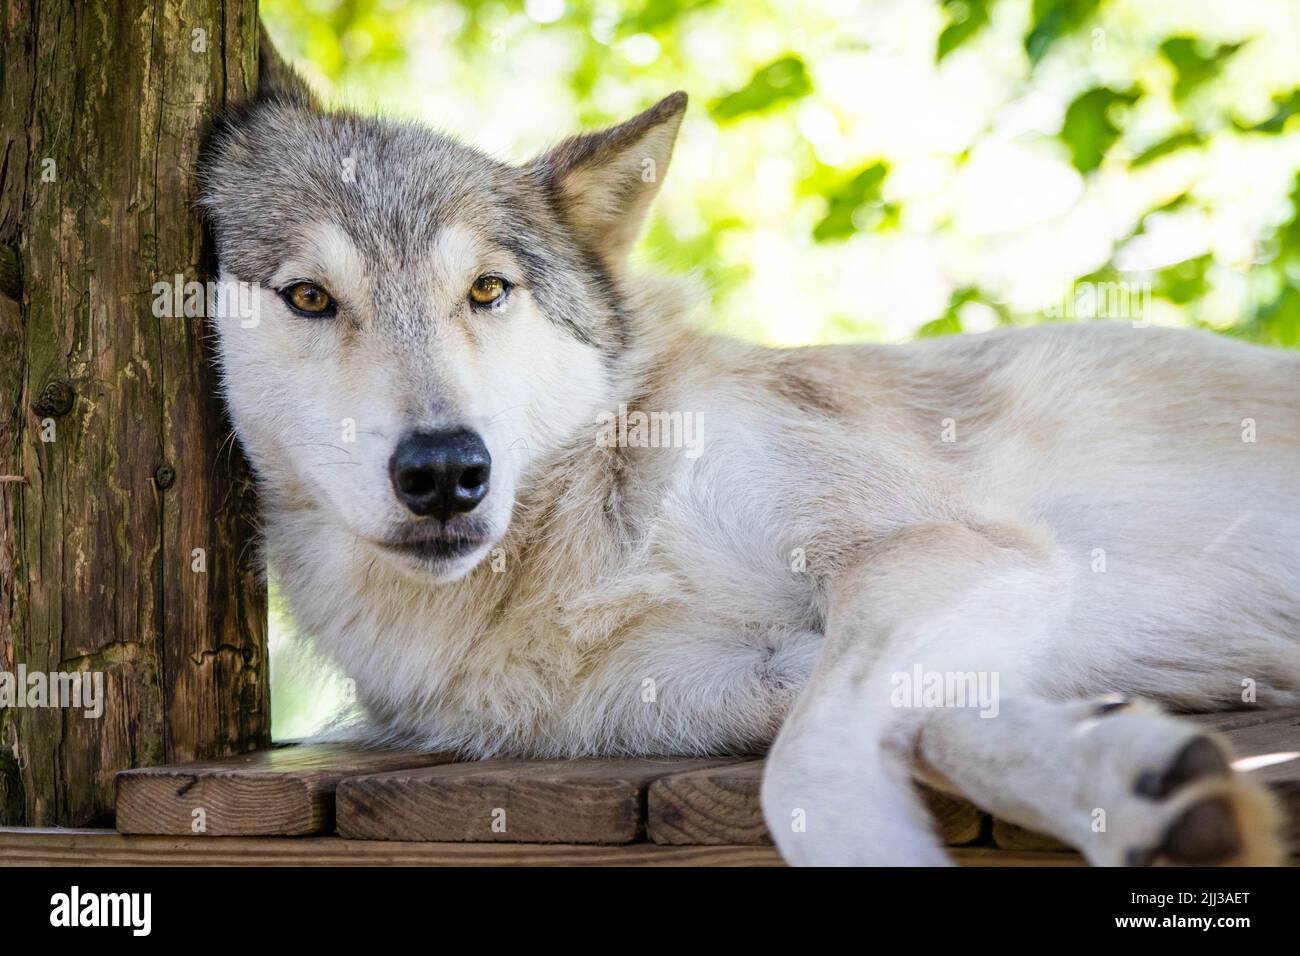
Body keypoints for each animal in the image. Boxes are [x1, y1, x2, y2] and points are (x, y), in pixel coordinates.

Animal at [196, 31, 1300, 866]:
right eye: (309, 297)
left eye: (486, 290)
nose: (445, 473)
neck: (595, 542)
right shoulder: (765, 671)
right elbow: (929, 724)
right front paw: (1144, 784)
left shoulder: (952, 551)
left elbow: (807, 769)